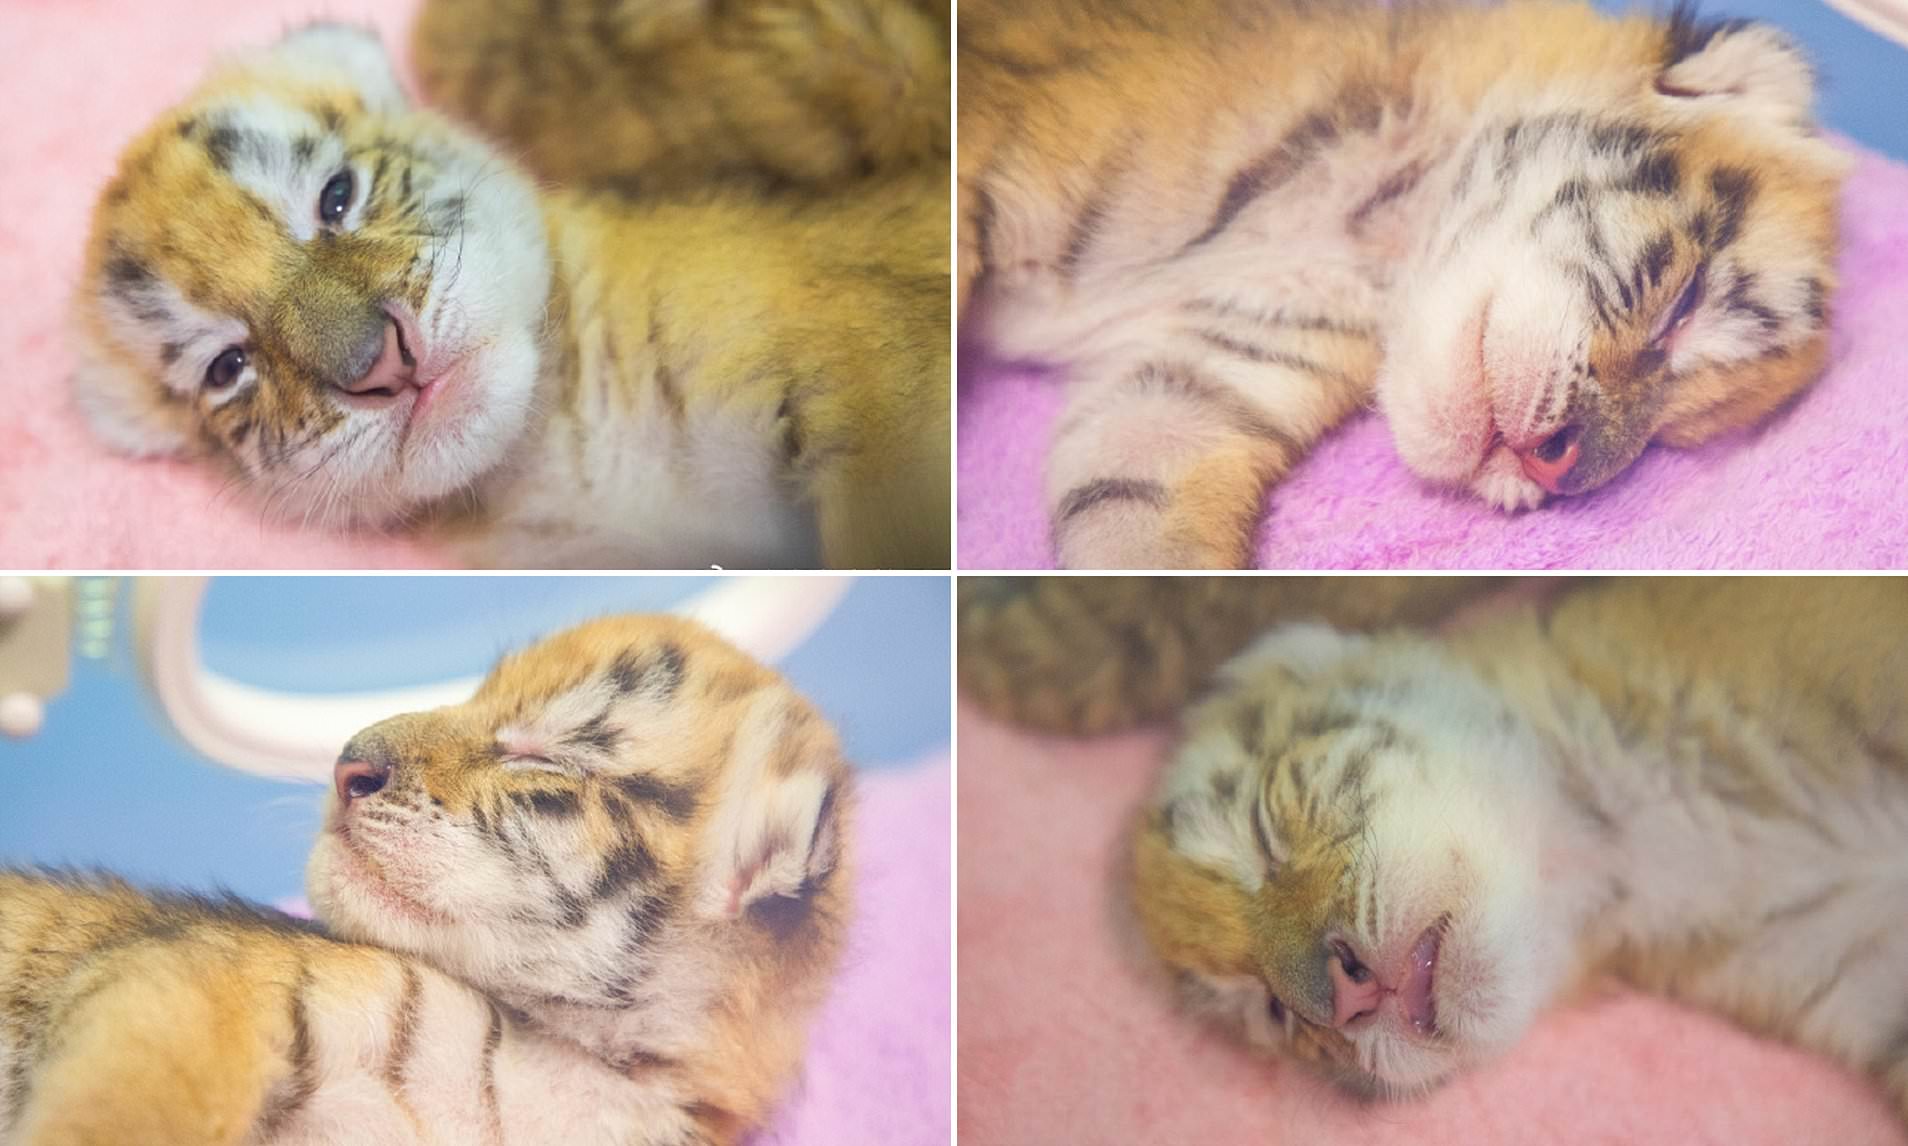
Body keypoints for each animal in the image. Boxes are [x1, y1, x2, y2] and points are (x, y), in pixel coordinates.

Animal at [0, 613, 852, 1144]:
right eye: (476, 701)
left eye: (546, 755)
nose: (348, 764)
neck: (594, 1074)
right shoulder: (191, 985)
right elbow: (118, 1111)